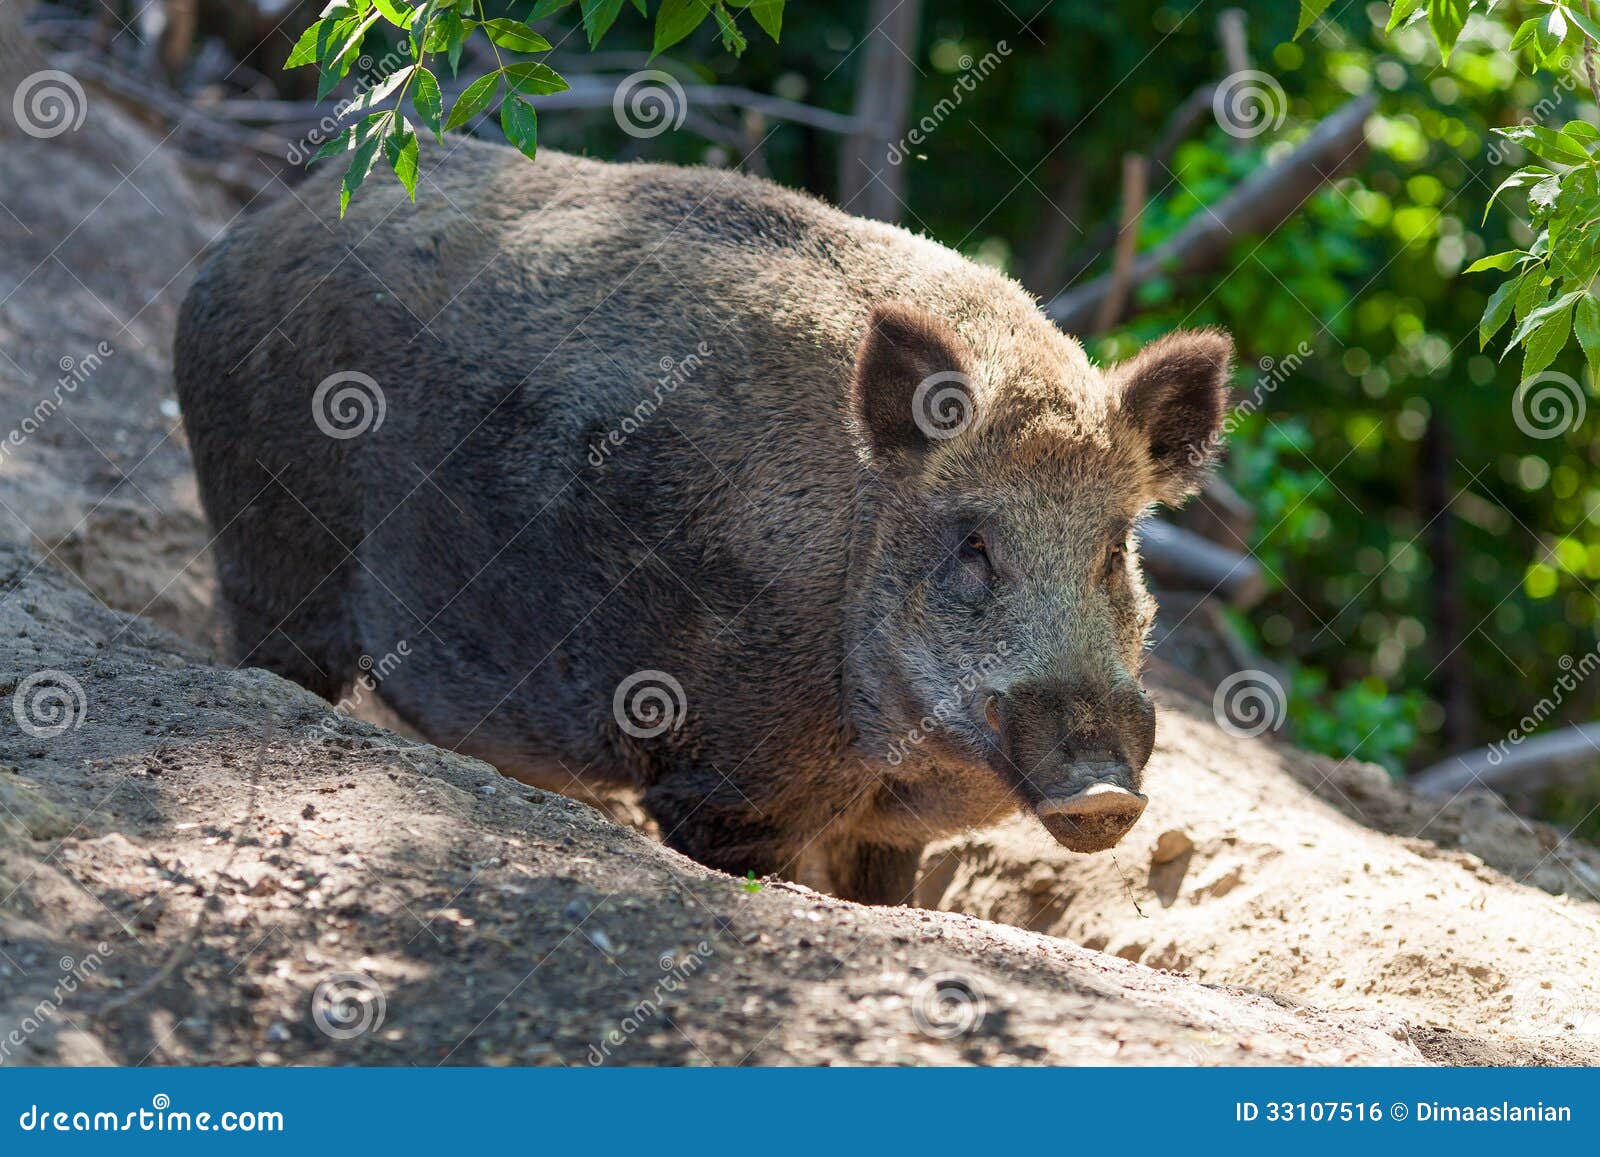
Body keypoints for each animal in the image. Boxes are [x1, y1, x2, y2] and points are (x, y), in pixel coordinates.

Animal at [174, 141, 1231, 905]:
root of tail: (251, 226)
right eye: (973, 545)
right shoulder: (726, 785)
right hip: (268, 538)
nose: (1103, 789)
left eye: (1113, 550)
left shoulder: (883, 834)